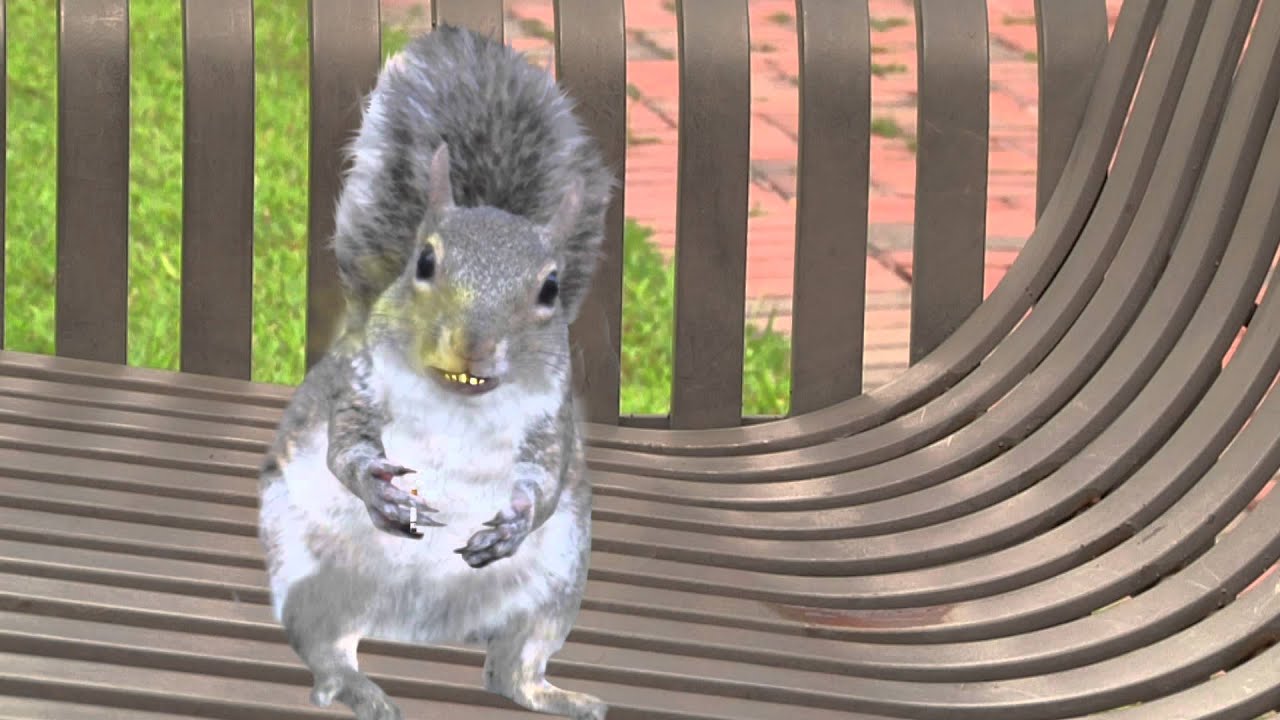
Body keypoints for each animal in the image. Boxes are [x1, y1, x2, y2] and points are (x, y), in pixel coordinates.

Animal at [257, 24, 614, 720]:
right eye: (424, 262)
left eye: (550, 288)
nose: (473, 347)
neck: (460, 403)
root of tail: (422, 629)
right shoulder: (354, 384)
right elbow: (344, 452)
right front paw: (379, 489)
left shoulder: (552, 423)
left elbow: (548, 483)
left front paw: (513, 522)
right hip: (312, 579)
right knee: (326, 647)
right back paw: (358, 689)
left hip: (551, 595)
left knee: (510, 669)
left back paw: (553, 695)